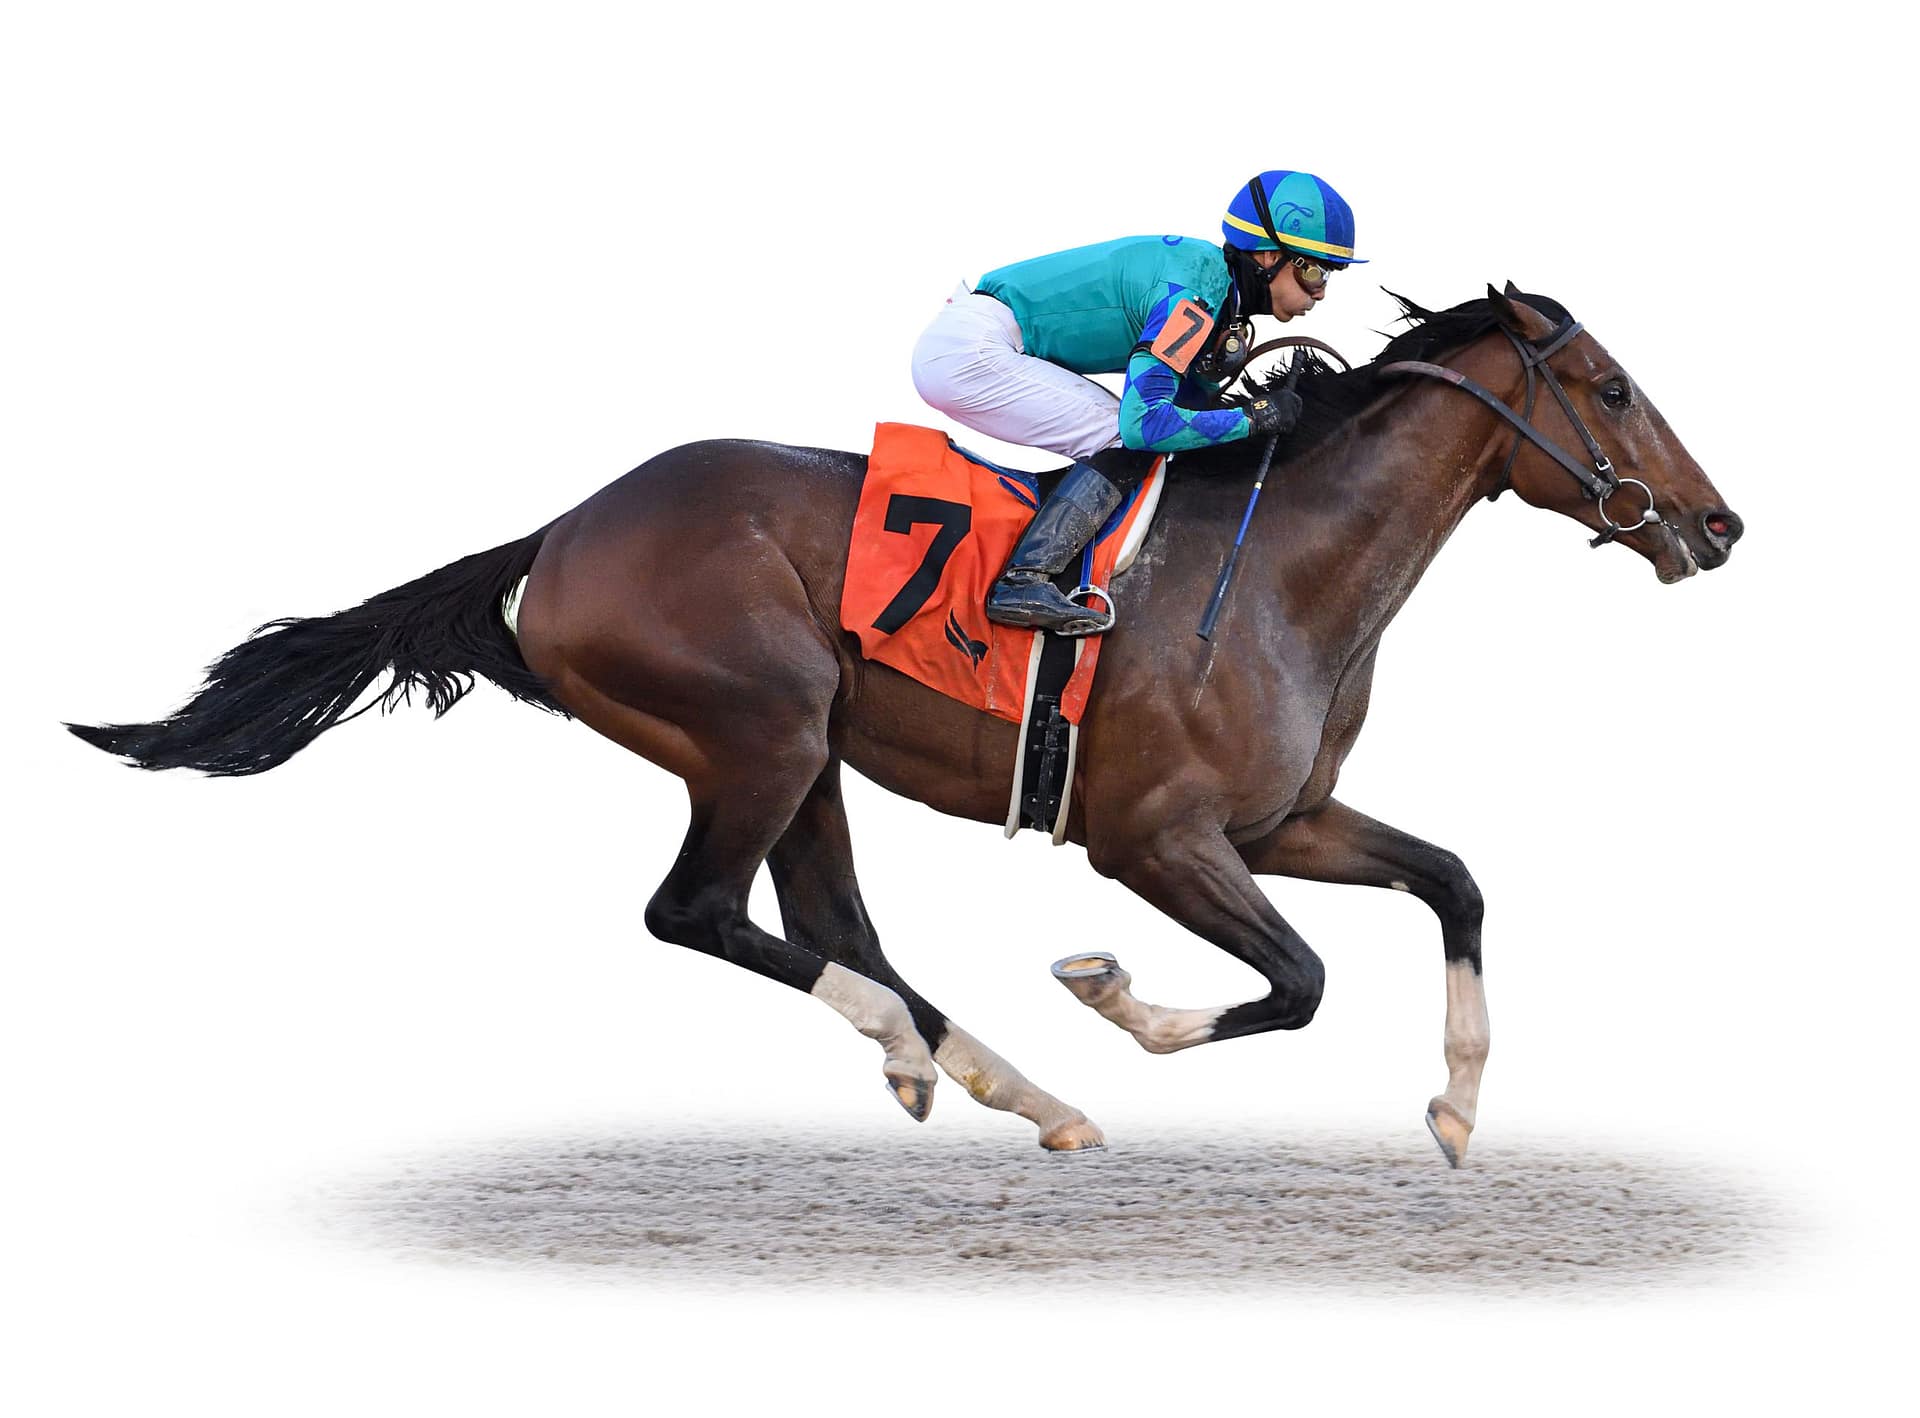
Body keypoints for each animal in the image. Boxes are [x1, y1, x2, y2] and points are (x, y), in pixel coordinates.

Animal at [68, 284, 1743, 1166]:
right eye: (1610, 386)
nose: (1718, 525)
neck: (1283, 563)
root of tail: (565, 528)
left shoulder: (1281, 822)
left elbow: (1454, 879)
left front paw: (1457, 1105)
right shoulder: (1157, 839)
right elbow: (1300, 980)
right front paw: (1113, 995)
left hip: (801, 752)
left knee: (828, 921)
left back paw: (1012, 1087)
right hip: (759, 727)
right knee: (702, 913)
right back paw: (965, 1060)